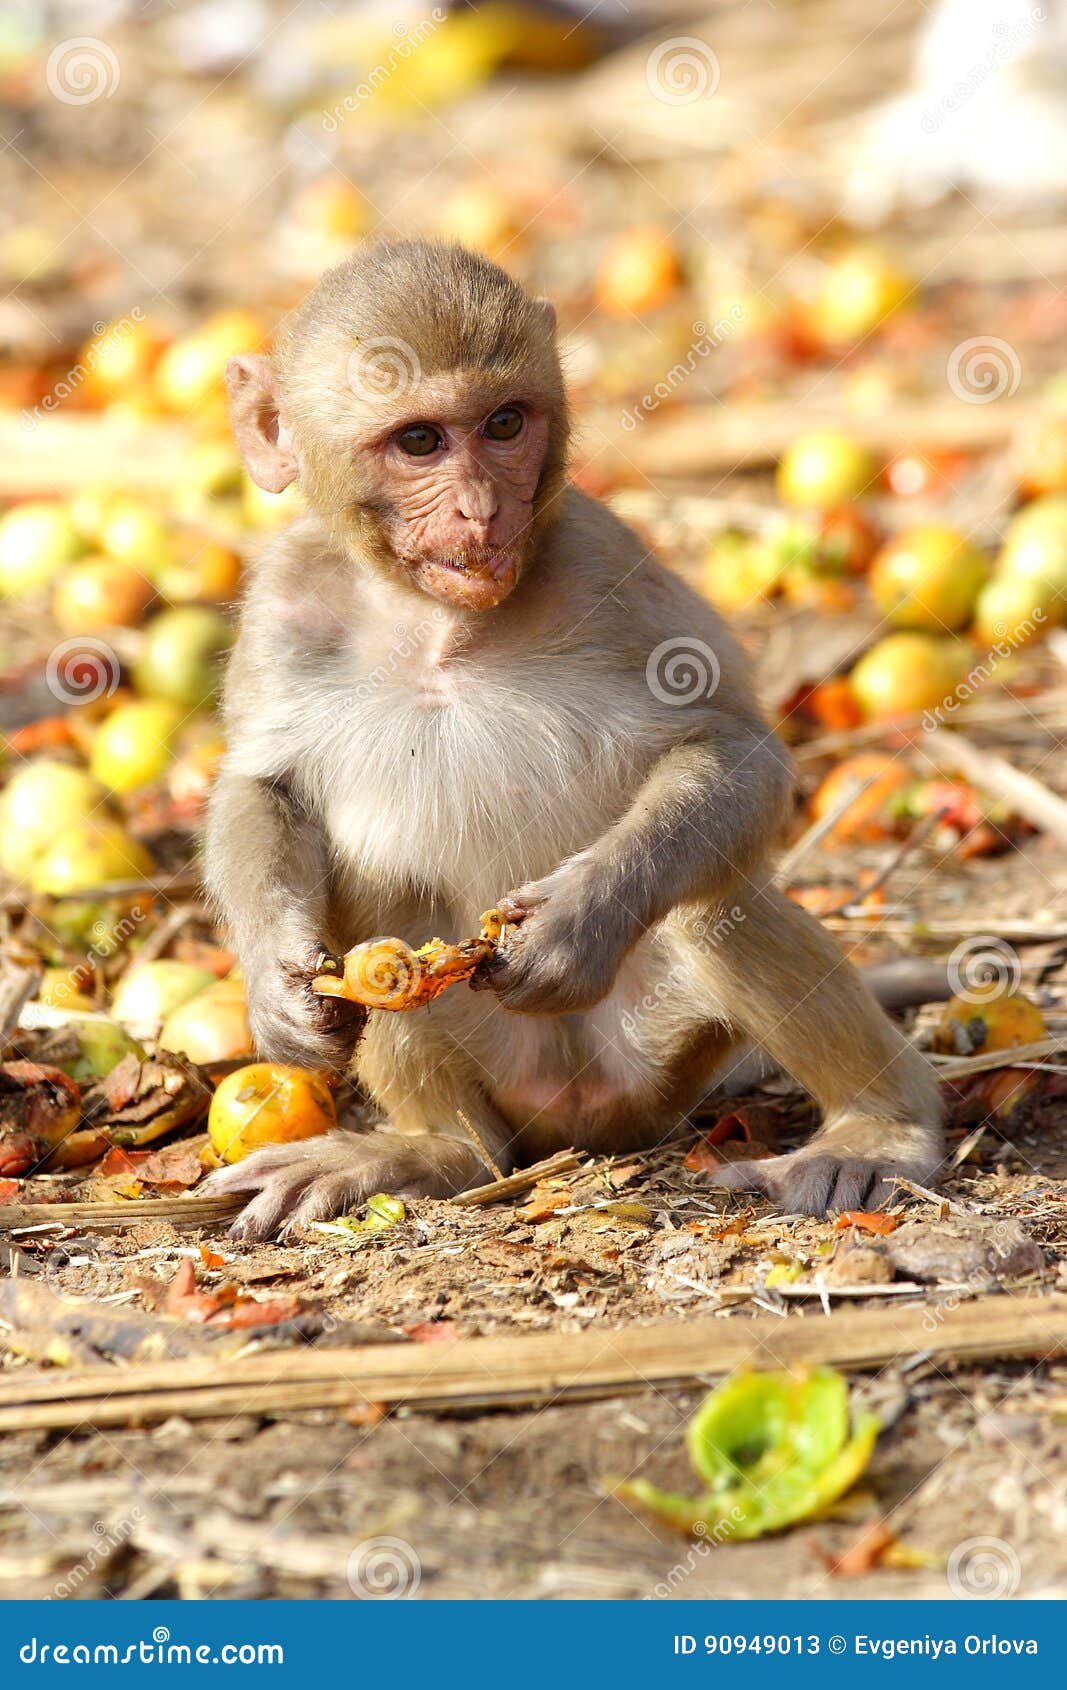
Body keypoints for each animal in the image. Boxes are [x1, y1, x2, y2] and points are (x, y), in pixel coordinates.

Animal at [204, 239, 943, 1241]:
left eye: (506, 423)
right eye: (419, 442)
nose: (480, 511)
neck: (440, 628)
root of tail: (581, 1115)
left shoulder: (608, 558)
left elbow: (735, 751)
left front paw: (579, 920)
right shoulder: (282, 602)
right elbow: (262, 787)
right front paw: (276, 985)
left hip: (659, 1055)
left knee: (713, 905)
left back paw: (881, 1128)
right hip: (504, 1071)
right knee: (376, 922)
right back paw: (434, 1152)